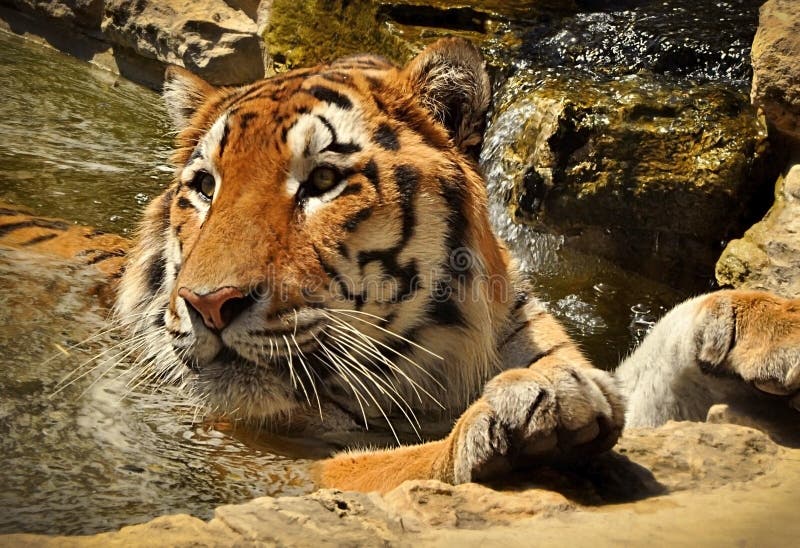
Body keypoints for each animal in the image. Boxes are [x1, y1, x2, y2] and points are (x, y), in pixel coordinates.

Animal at [2, 38, 798, 493]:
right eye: (204, 187)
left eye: (323, 181)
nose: (207, 304)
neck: (432, 360)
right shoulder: (264, 456)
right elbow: (387, 462)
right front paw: (525, 414)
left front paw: (766, 325)